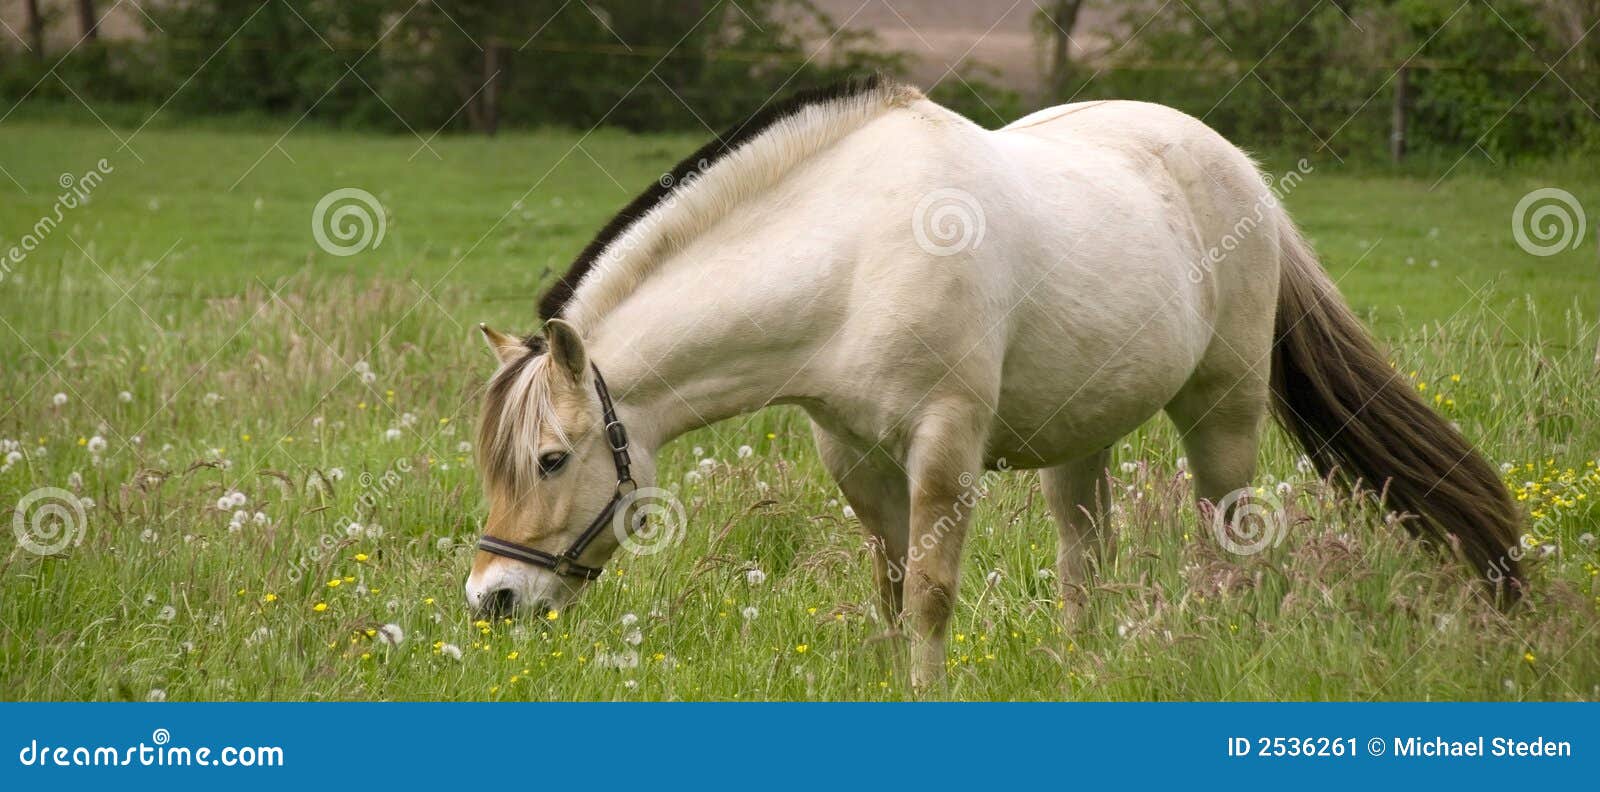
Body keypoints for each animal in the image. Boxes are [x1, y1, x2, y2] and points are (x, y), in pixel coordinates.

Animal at [464, 76, 1523, 688]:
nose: (492, 600)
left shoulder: (944, 447)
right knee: (1084, 556)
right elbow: (894, 592)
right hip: (1080, 439)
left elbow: (931, 597)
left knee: (1233, 539)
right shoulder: (856, 458)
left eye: (552, 459)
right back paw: (1078, 669)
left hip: (1220, 413)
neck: (852, 252)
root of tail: (1245, 173)